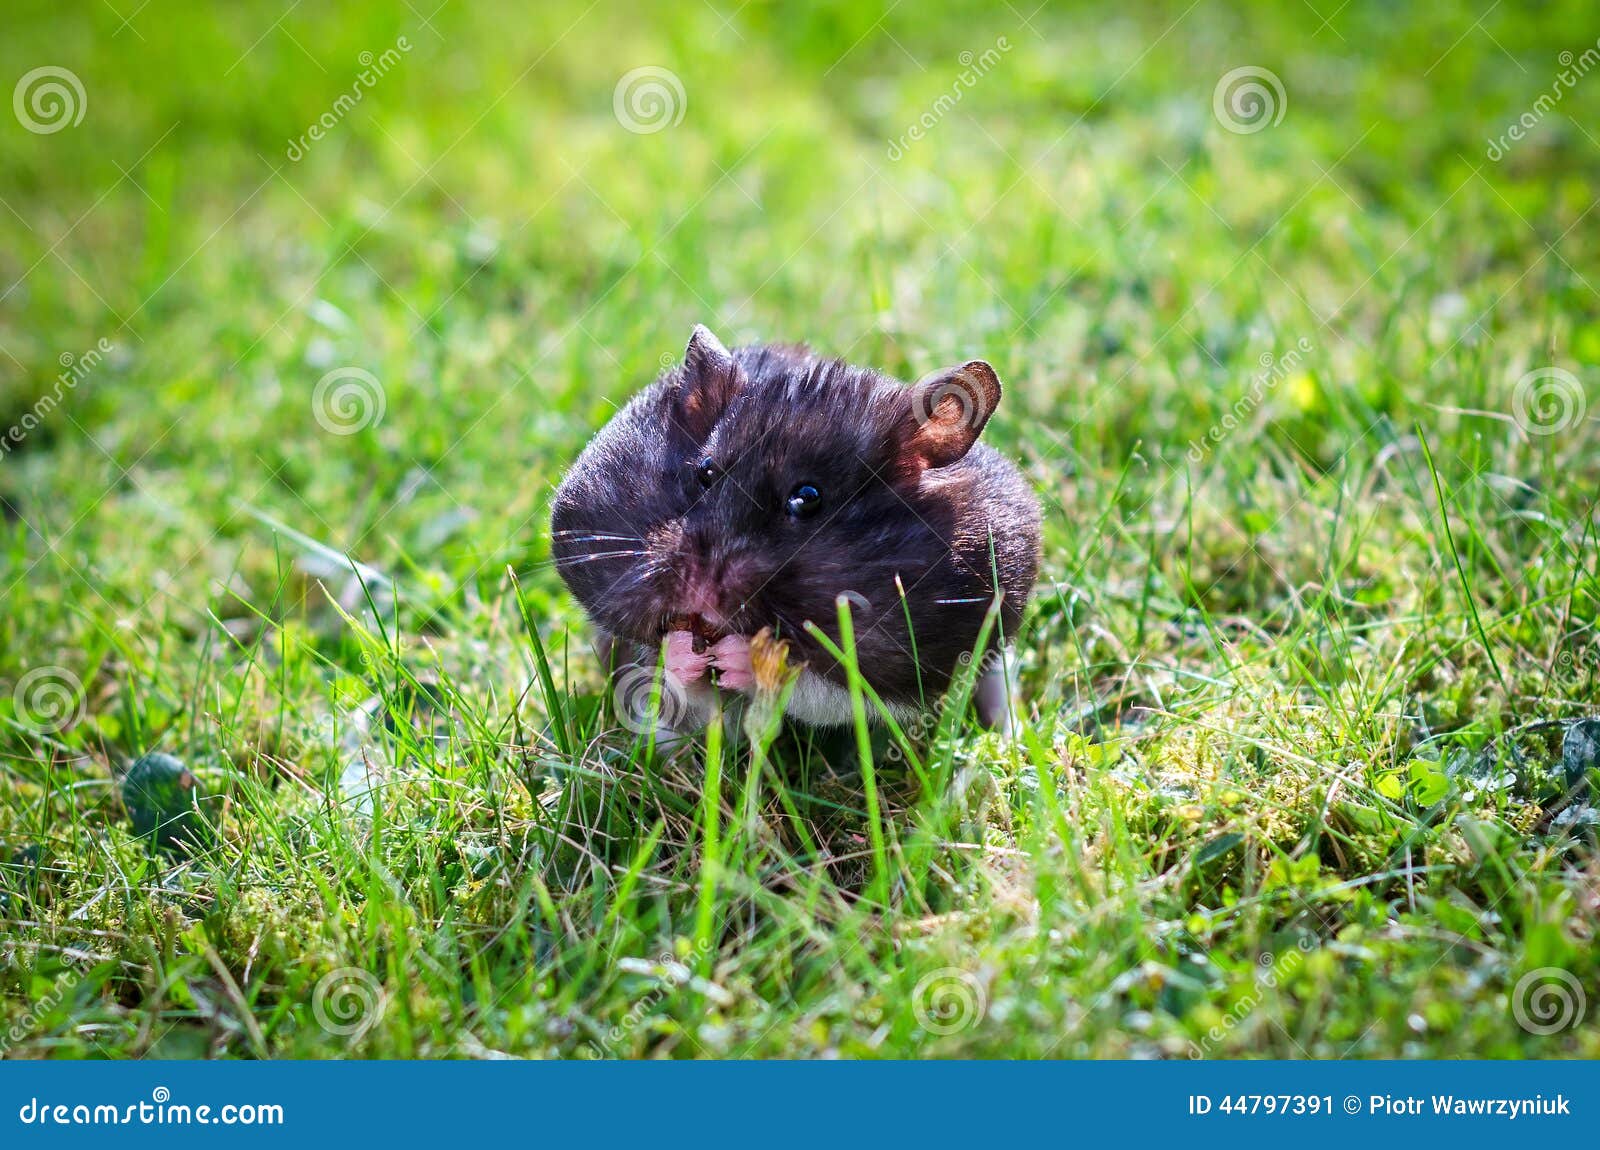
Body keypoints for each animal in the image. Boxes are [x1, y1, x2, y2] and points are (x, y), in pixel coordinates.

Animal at [549, 325, 1041, 734]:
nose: (698, 596)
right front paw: (683, 650)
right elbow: (668, 677)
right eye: (705, 472)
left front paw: (738, 658)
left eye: (807, 498)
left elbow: (821, 684)